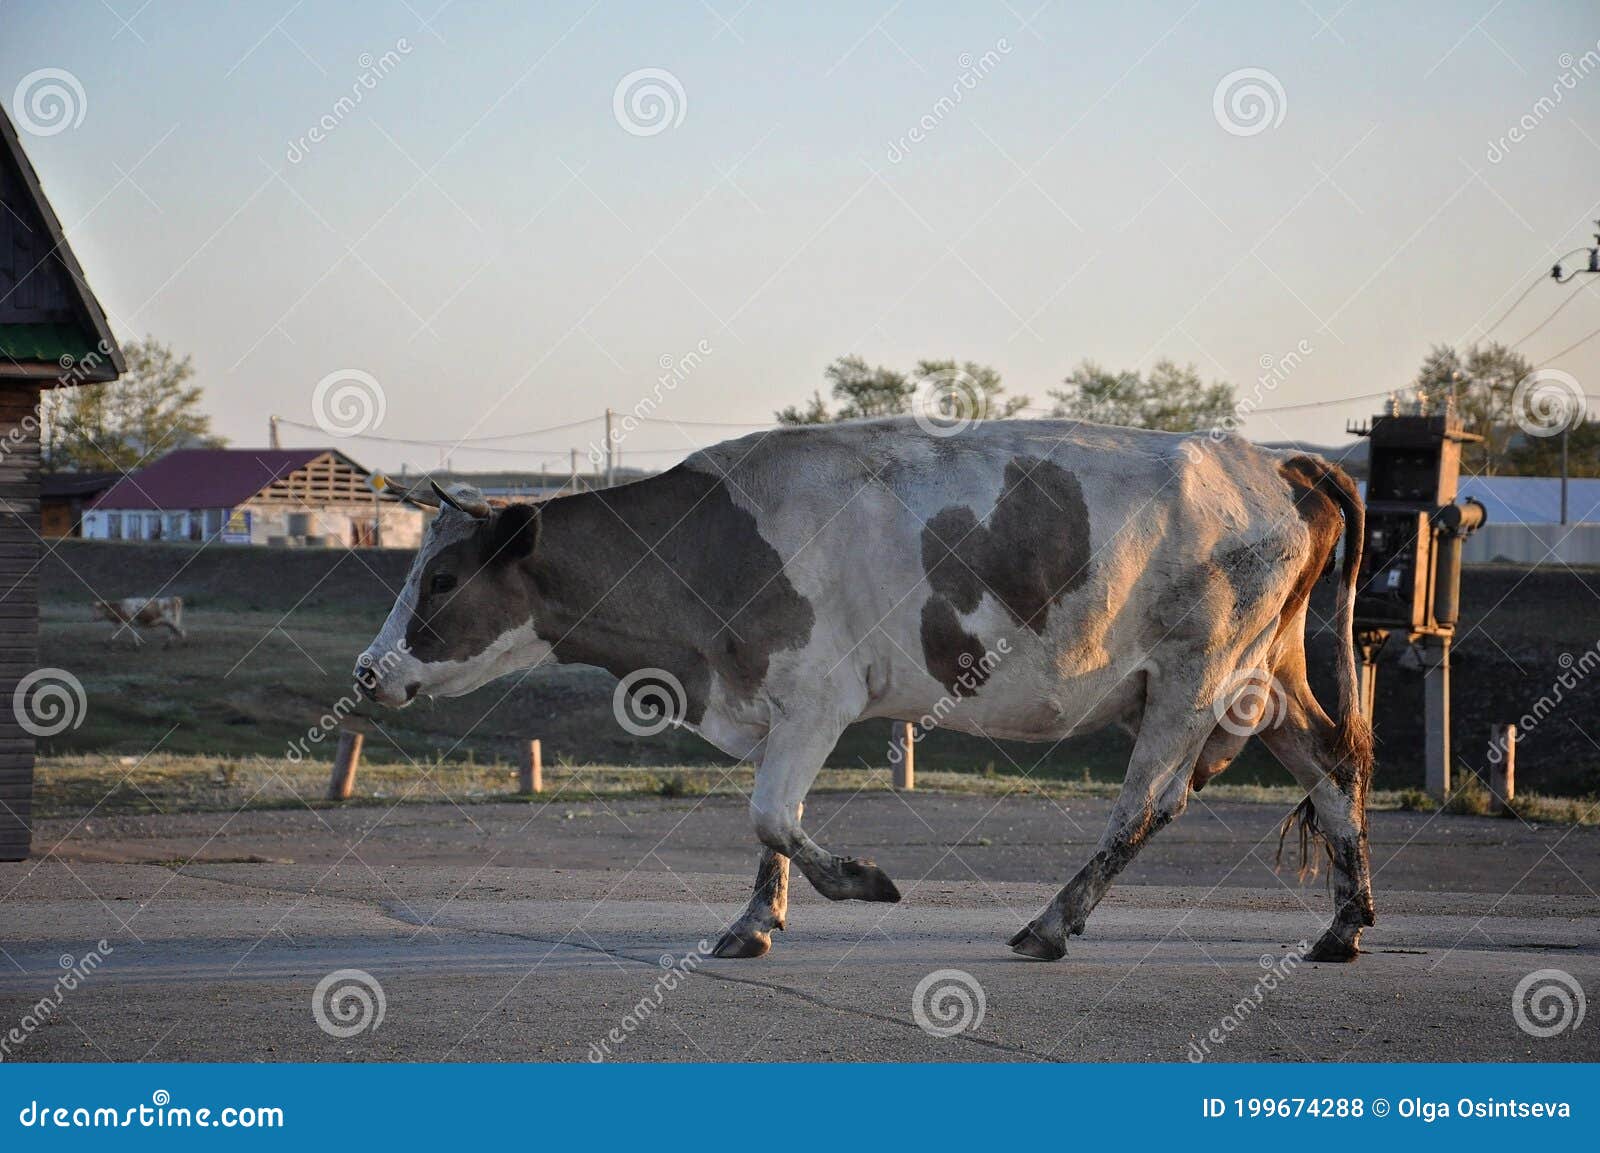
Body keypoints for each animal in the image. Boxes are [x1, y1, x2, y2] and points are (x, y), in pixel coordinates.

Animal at [355, 417, 1374, 963]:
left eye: (441, 579)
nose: (369, 671)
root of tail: (1276, 462)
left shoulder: (819, 695)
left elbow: (772, 813)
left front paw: (860, 881)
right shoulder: (773, 701)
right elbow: (772, 820)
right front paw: (754, 922)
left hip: (1194, 677)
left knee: (1144, 804)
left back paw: (1052, 920)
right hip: (1264, 676)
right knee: (1330, 762)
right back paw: (1345, 923)